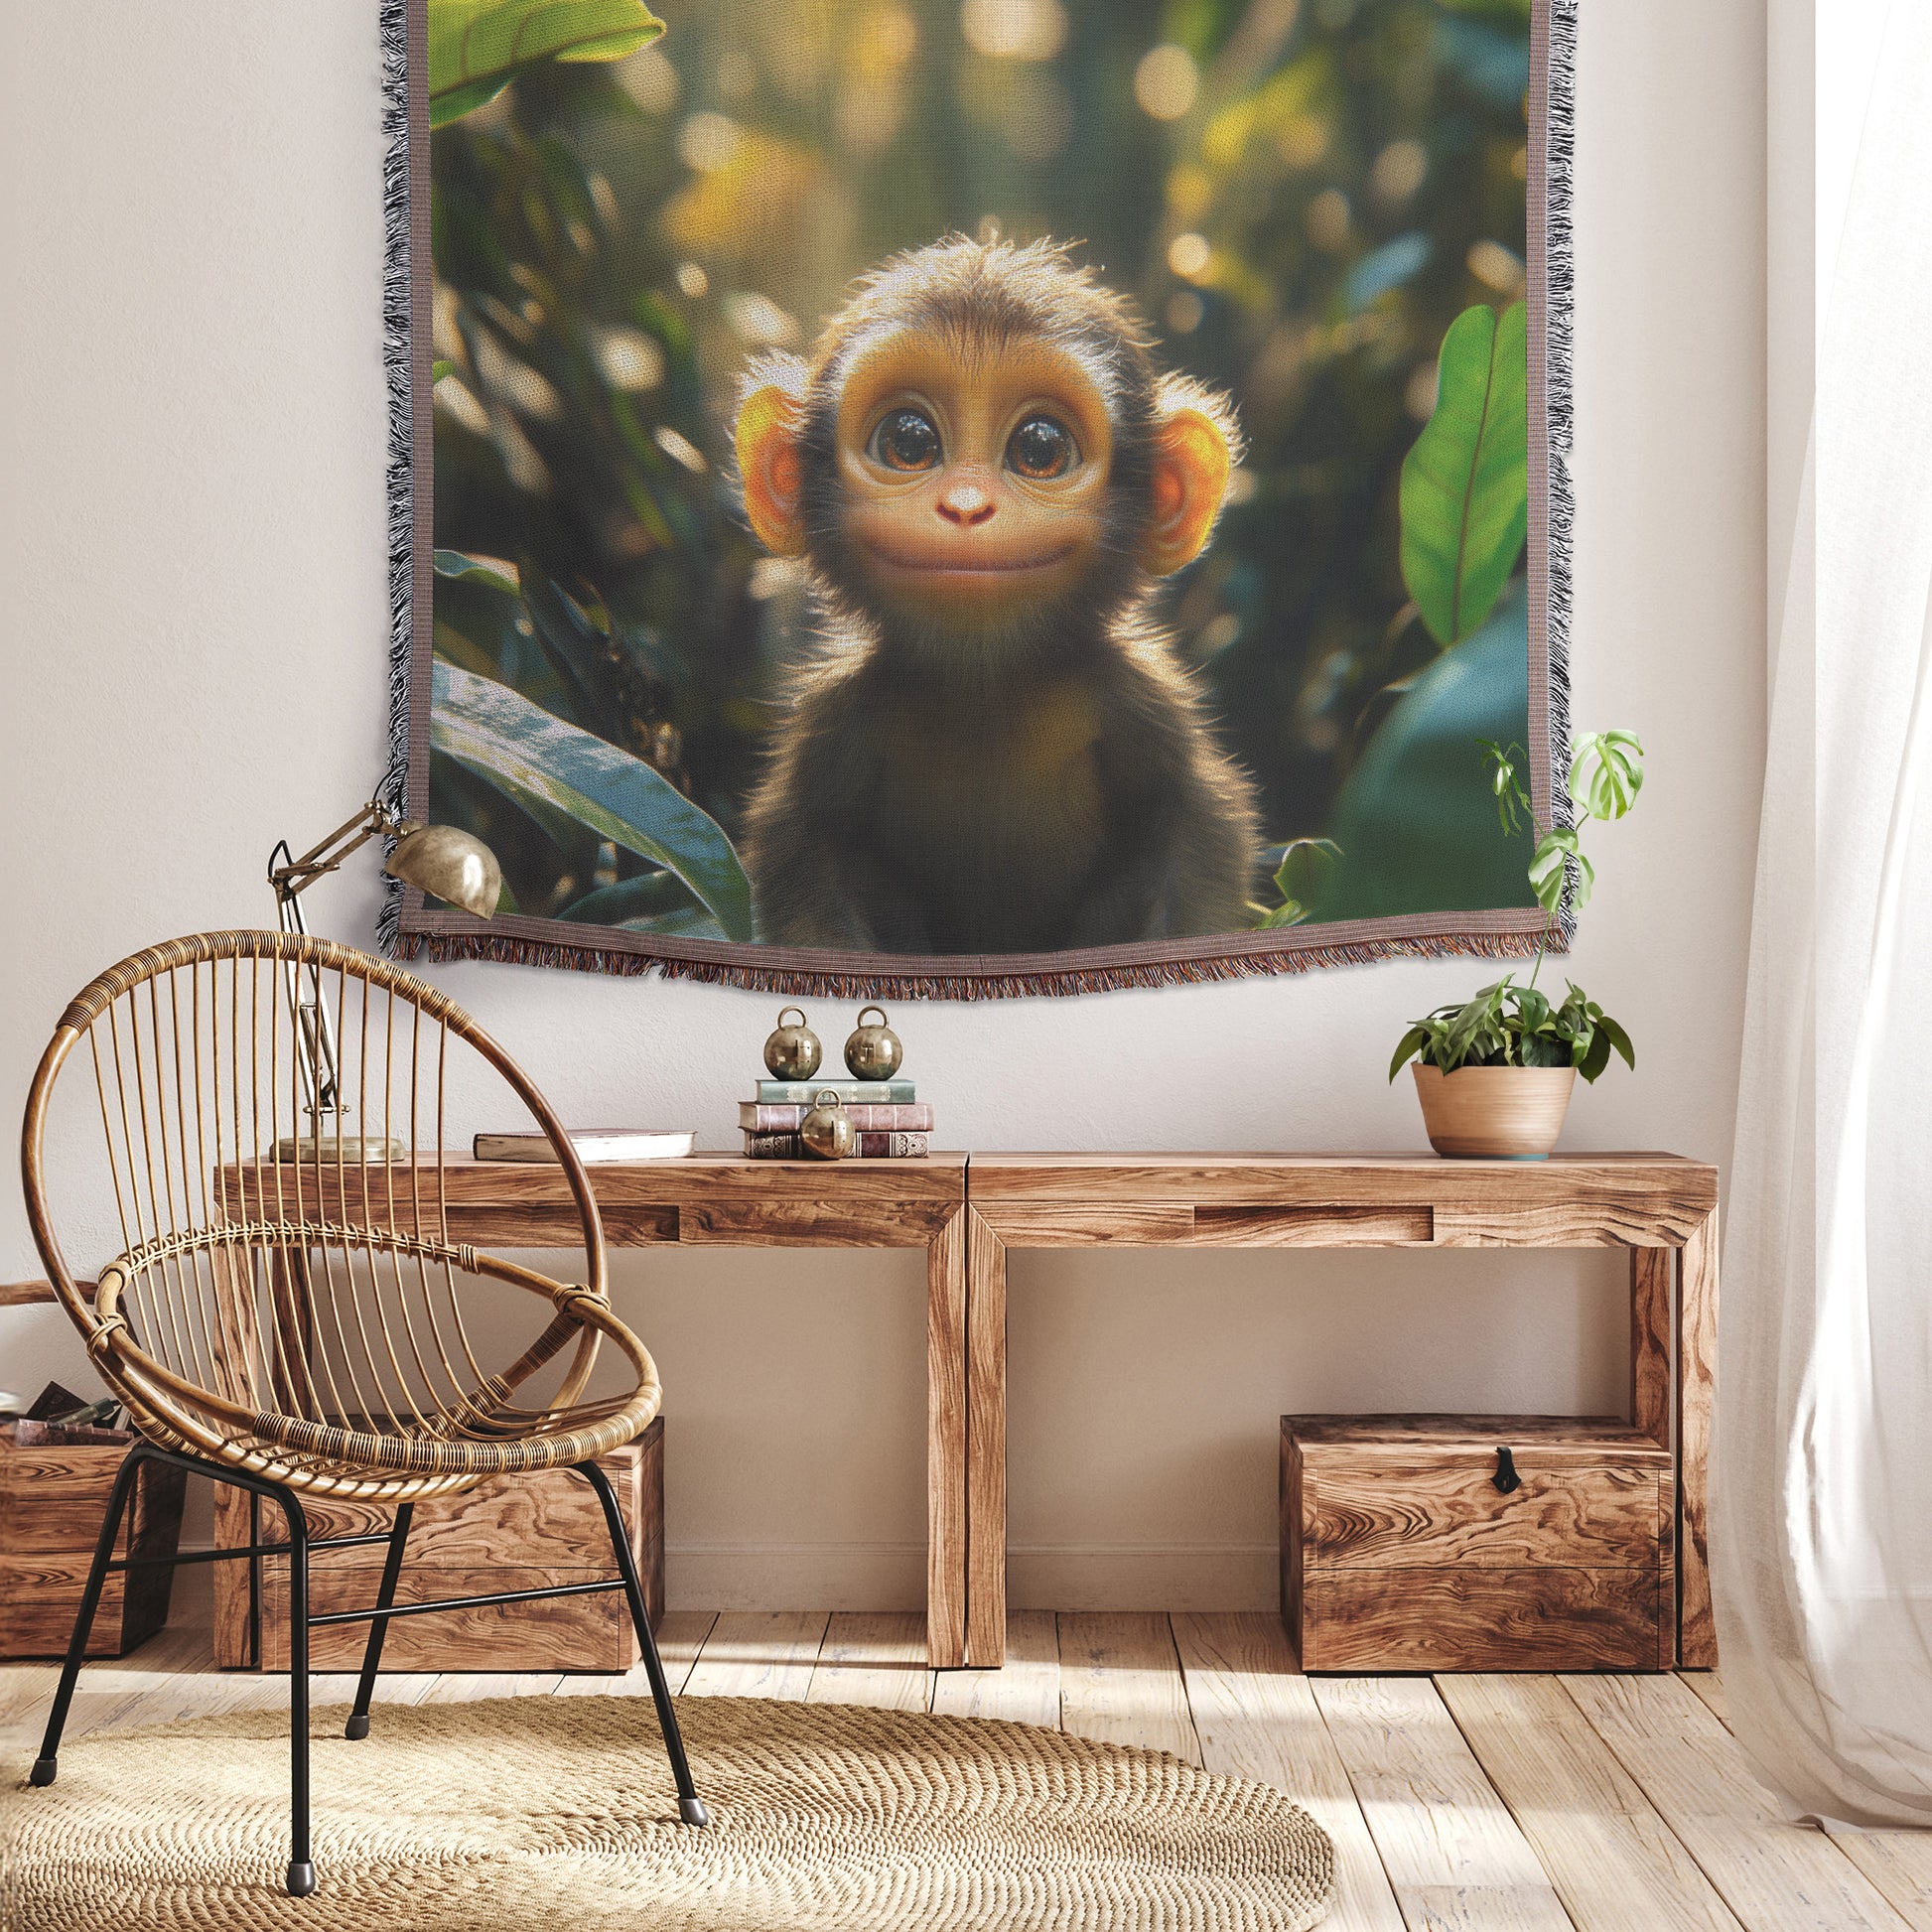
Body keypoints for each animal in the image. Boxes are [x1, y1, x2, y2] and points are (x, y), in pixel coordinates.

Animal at [733, 235, 1260, 955]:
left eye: (1040, 449)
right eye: (909, 442)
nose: (966, 506)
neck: (987, 688)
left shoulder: (1135, 697)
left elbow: (1197, 822)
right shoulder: (840, 716)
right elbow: (805, 849)